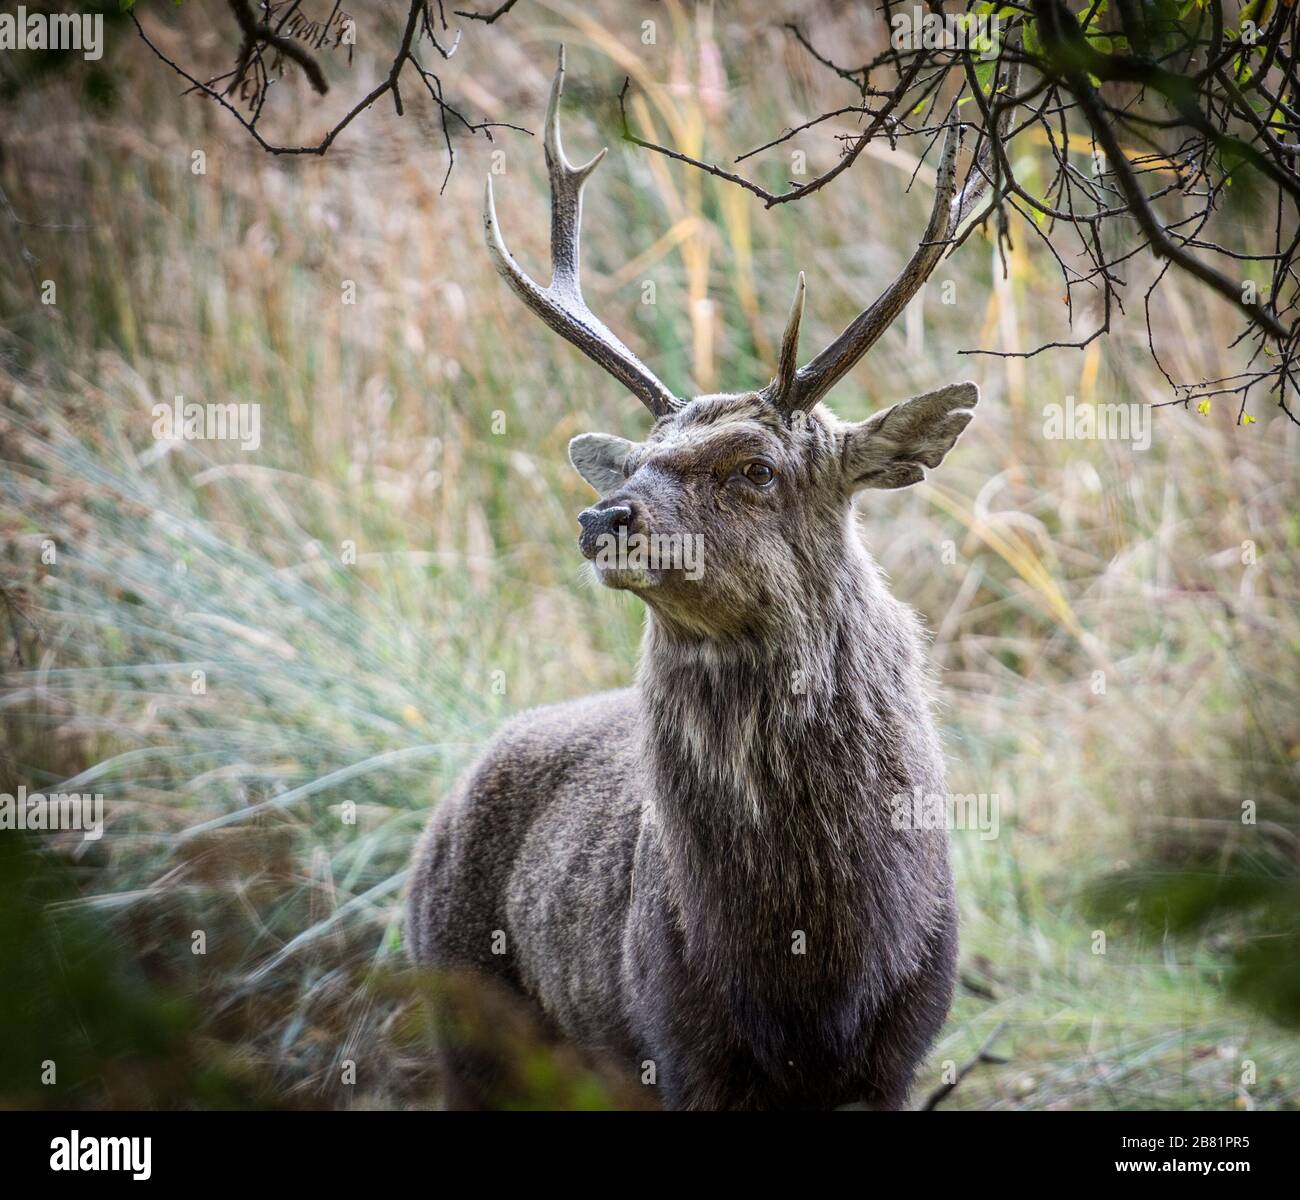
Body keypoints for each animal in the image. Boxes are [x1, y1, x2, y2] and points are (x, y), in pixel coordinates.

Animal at [410, 44, 1008, 1118]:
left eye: (756, 468)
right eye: (642, 457)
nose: (603, 516)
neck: (810, 972)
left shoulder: (903, 1045)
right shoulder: (680, 1041)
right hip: (467, 1013)